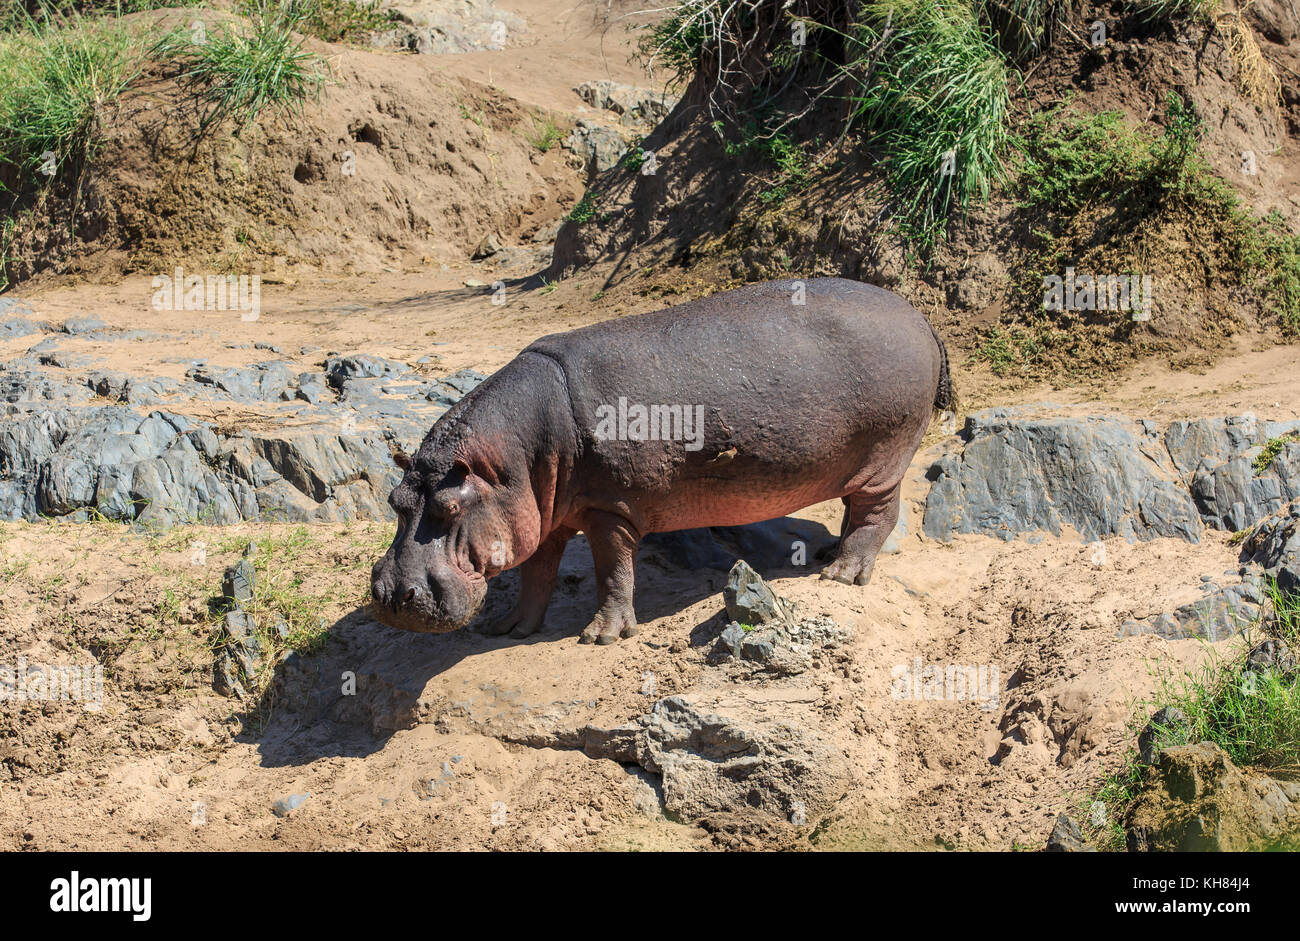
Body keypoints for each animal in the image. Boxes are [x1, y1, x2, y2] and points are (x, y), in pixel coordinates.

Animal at [371, 277, 953, 644]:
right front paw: (511, 628)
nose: (394, 596)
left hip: (885, 457)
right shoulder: (542, 515)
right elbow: (537, 572)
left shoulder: (611, 509)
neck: (507, 462)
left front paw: (601, 637)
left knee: (877, 514)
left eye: (449, 508)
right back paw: (831, 555)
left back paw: (841, 575)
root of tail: (921, 317)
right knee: (855, 511)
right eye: (394, 501)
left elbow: (612, 572)